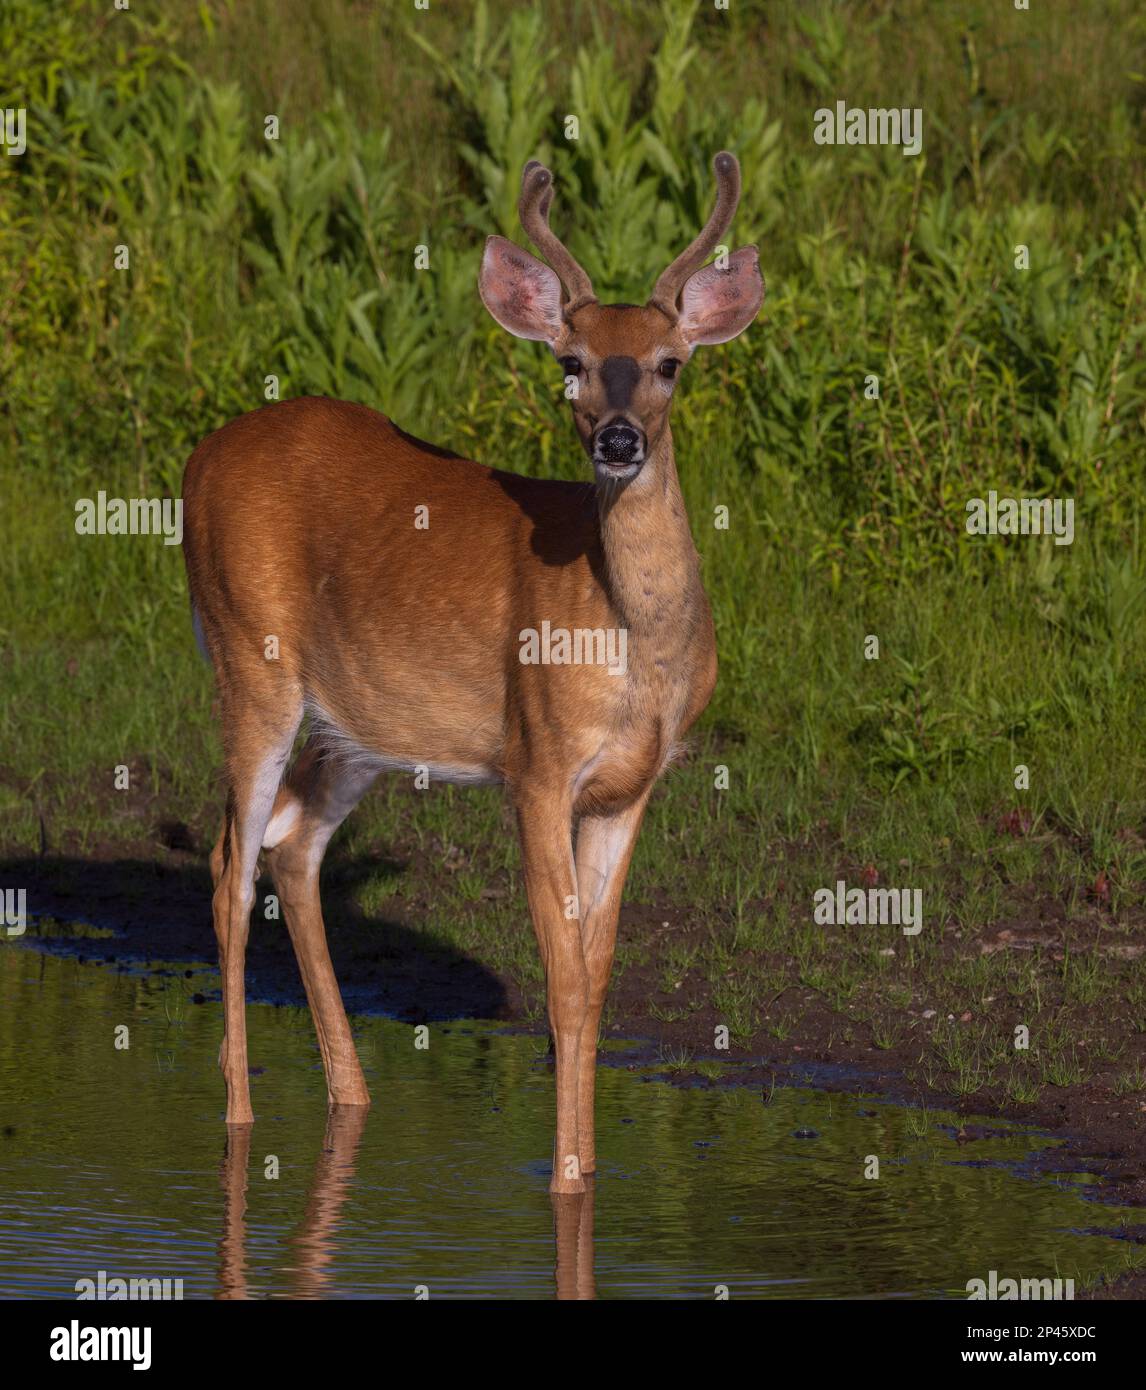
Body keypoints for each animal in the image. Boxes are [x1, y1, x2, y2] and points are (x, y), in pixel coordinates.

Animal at [181, 152, 763, 1194]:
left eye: (671, 363)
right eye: (570, 362)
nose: (619, 439)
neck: (632, 647)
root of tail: (193, 463)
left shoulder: (629, 788)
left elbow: (598, 974)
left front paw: (587, 1170)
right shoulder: (537, 763)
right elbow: (562, 982)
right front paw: (568, 1180)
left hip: (353, 726)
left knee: (292, 847)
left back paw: (351, 1098)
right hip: (251, 662)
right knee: (228, 868)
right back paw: (241, 1121)